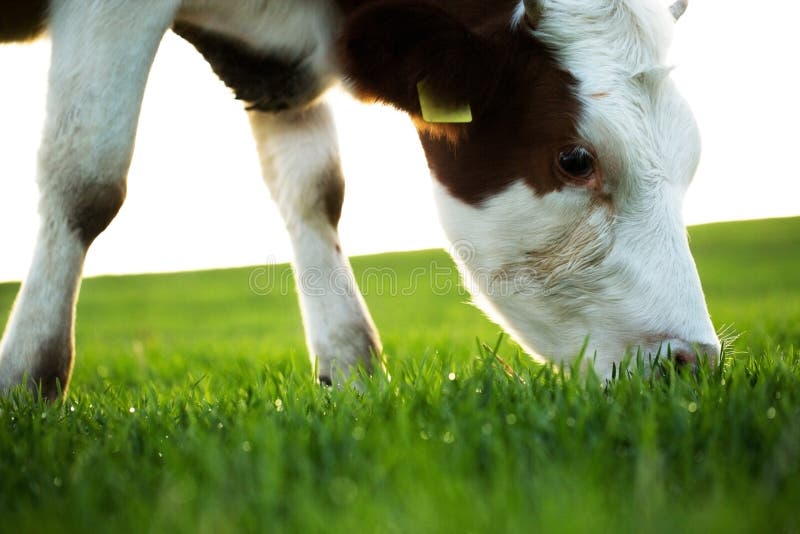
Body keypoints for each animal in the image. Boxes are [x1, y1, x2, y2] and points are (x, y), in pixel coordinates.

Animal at [0, 0, 719, 399]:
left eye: (692, 161)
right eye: (574, 159)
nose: (693, 363)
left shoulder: (269, 63)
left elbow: (314, 189)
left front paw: (349, 368)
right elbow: (87, 177)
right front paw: (28, 381)